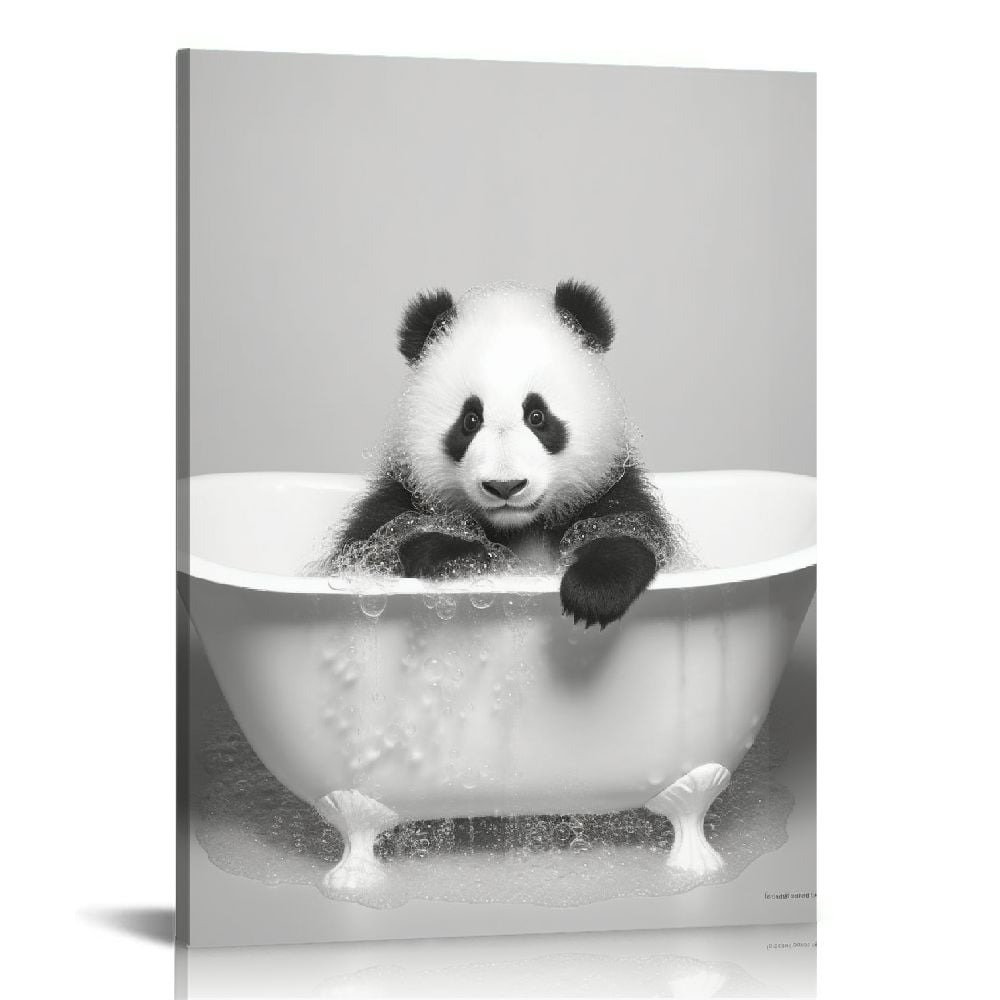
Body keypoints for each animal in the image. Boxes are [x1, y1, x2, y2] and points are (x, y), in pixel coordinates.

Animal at [327, 280, 673, 628]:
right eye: (470, 421)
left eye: (537, 416)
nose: (505, 486)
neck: (518, 527)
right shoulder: (404, 492)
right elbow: (382, 539)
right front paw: (460, 556)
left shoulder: (607, 483)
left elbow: (630, 530)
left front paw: (594, 591)